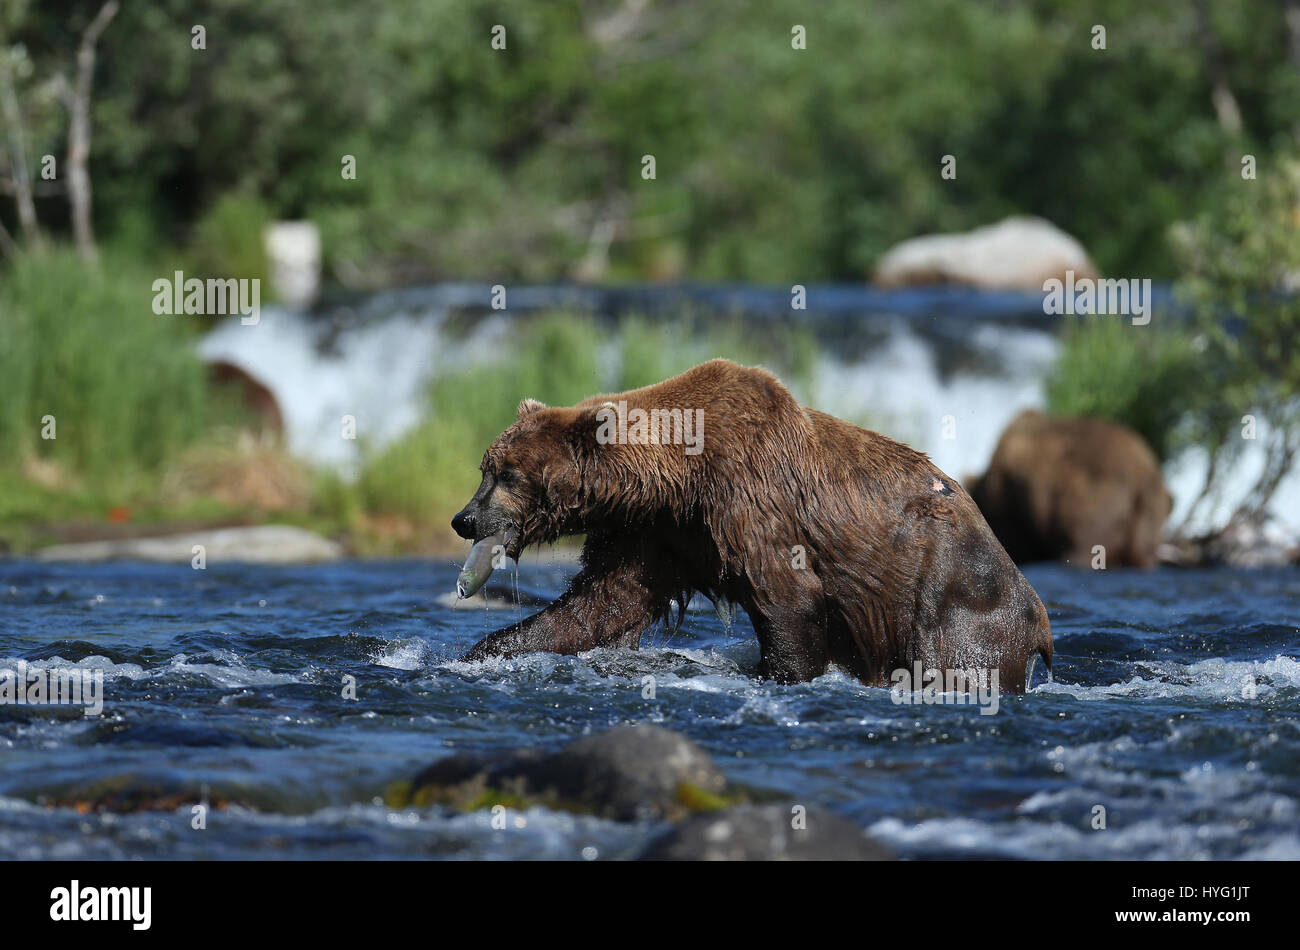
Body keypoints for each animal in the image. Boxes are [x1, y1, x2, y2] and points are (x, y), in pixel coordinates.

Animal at [451, 359, 1053, 693]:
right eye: (485, 468)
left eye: (506, 474)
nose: (465, 519)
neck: (679, 478)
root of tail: (1037, 610)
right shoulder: (659, 532)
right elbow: (598, 604)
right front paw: (486, 651)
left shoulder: (748, 498)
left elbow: (788, 596)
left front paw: (776, 673)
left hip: (955, 596)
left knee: (960, 658)